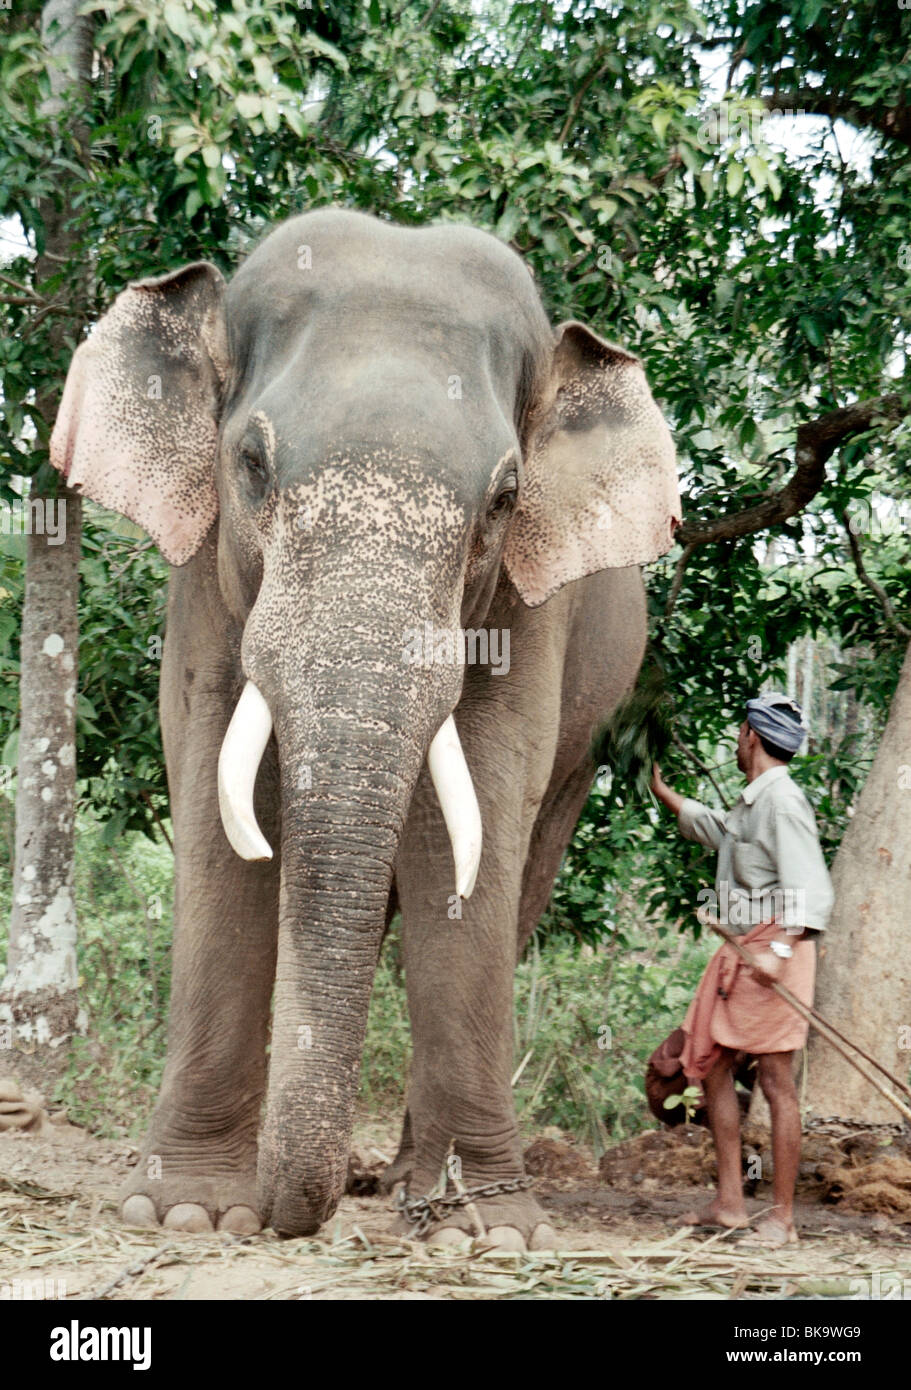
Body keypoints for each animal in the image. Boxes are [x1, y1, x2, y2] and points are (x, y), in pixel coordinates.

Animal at [50, 207, 680, 1249]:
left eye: (504, 500)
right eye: (250, 465)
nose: (287, 1217)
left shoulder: (530, 604)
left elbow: (478, 804)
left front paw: (488, 1232)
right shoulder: (204, 574)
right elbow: (213, 783)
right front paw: (185, 1211)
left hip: (589, 743)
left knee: (521, 868)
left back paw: (414, 1187)